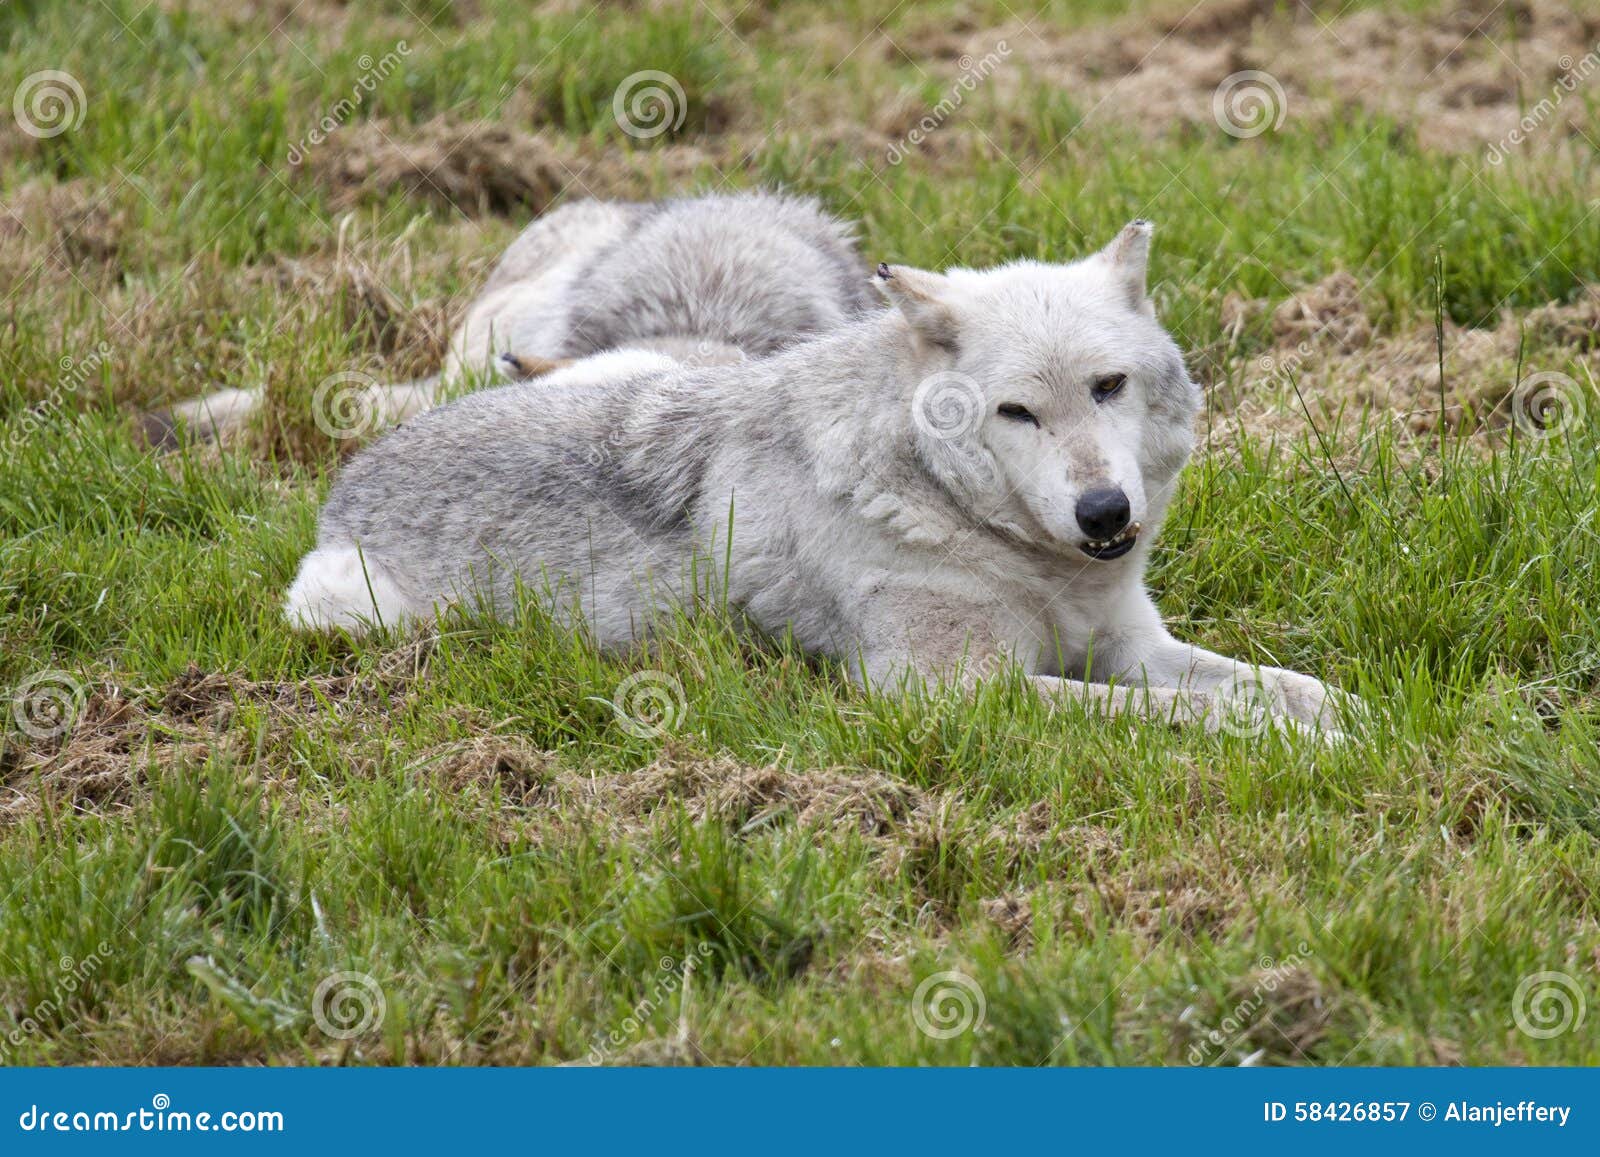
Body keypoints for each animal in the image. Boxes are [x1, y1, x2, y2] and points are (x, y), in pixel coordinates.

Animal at [285, 220, 1355, 736]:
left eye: (1108, 387)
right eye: (1017, 412)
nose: (1103, 511)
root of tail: (353, 475)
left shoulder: (1130, 642)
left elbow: (1290, 685)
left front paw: (1353, 722)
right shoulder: (951, 693)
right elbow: (1188, 712)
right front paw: (1295, 744)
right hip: (364, 616)